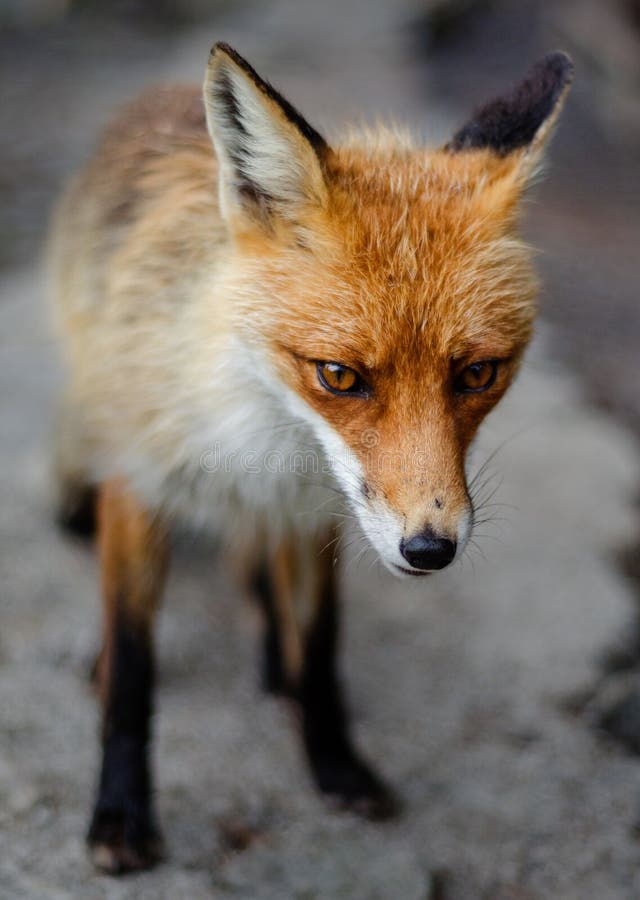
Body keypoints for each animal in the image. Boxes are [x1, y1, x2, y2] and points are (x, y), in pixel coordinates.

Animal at [48, 43, 573, 873]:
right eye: (339, 376)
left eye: (476, 375)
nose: (429, 549)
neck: (259, 440)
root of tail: (157, 93)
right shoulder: (139, 479)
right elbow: (133, 669)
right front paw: (122, 816)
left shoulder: (318, 515)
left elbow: (322, 649)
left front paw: (337, 767)